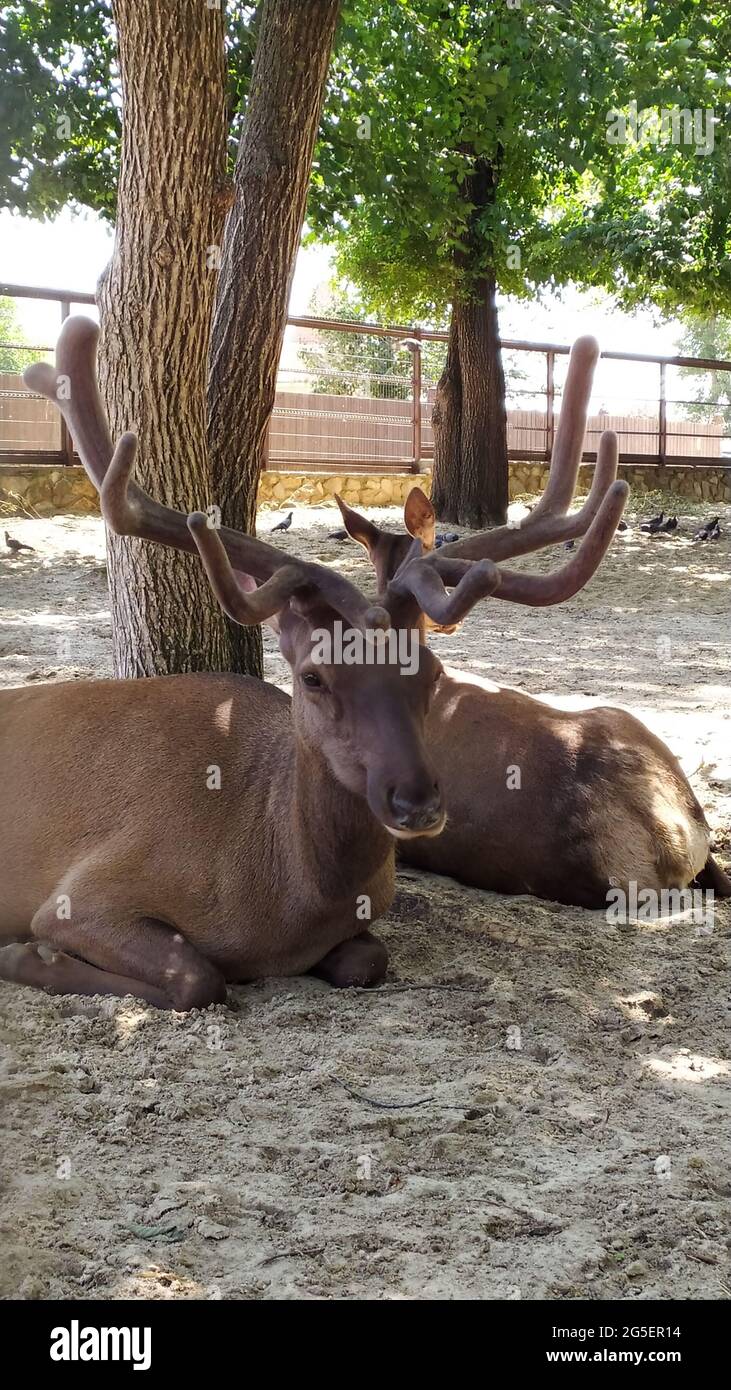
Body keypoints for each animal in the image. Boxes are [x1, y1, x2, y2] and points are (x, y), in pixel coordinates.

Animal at [0, 318, 628, 1007]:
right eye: (313, 676)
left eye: (431, 673)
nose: (417, 802)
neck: (284, 904)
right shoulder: (86, 890)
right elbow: (197, 976)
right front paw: (29, 955)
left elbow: (368, 958)